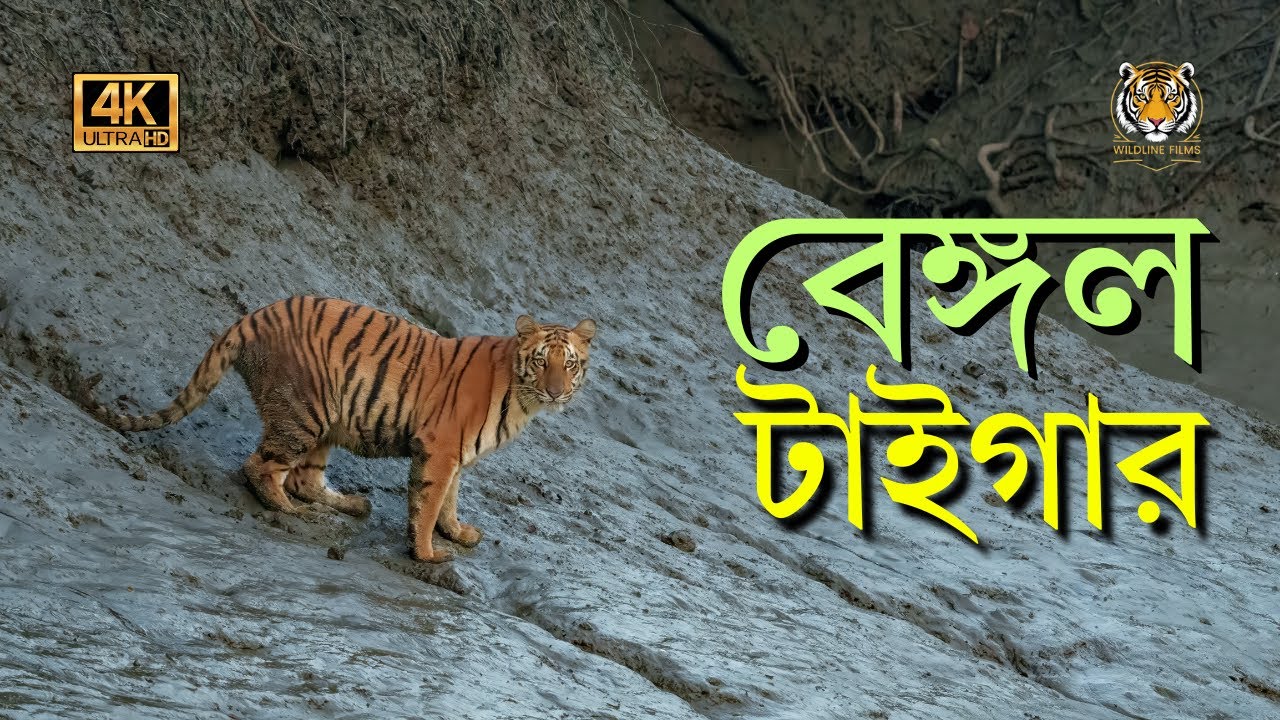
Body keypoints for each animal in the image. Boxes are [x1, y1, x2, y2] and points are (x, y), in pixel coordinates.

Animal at [82, 296, 596, 563]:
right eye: (542, 362)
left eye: (568, 364)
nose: (556, 392)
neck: (520, 394)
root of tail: (255, 315)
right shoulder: (441, 447)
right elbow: (429, 502)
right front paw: (427, 553)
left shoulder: (456, 456)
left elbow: (449, 500)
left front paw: (457, 533)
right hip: (303, 411)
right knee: (261, 466)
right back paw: (289, 511)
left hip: (326, 420)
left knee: (305, 478)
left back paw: (350, 504)